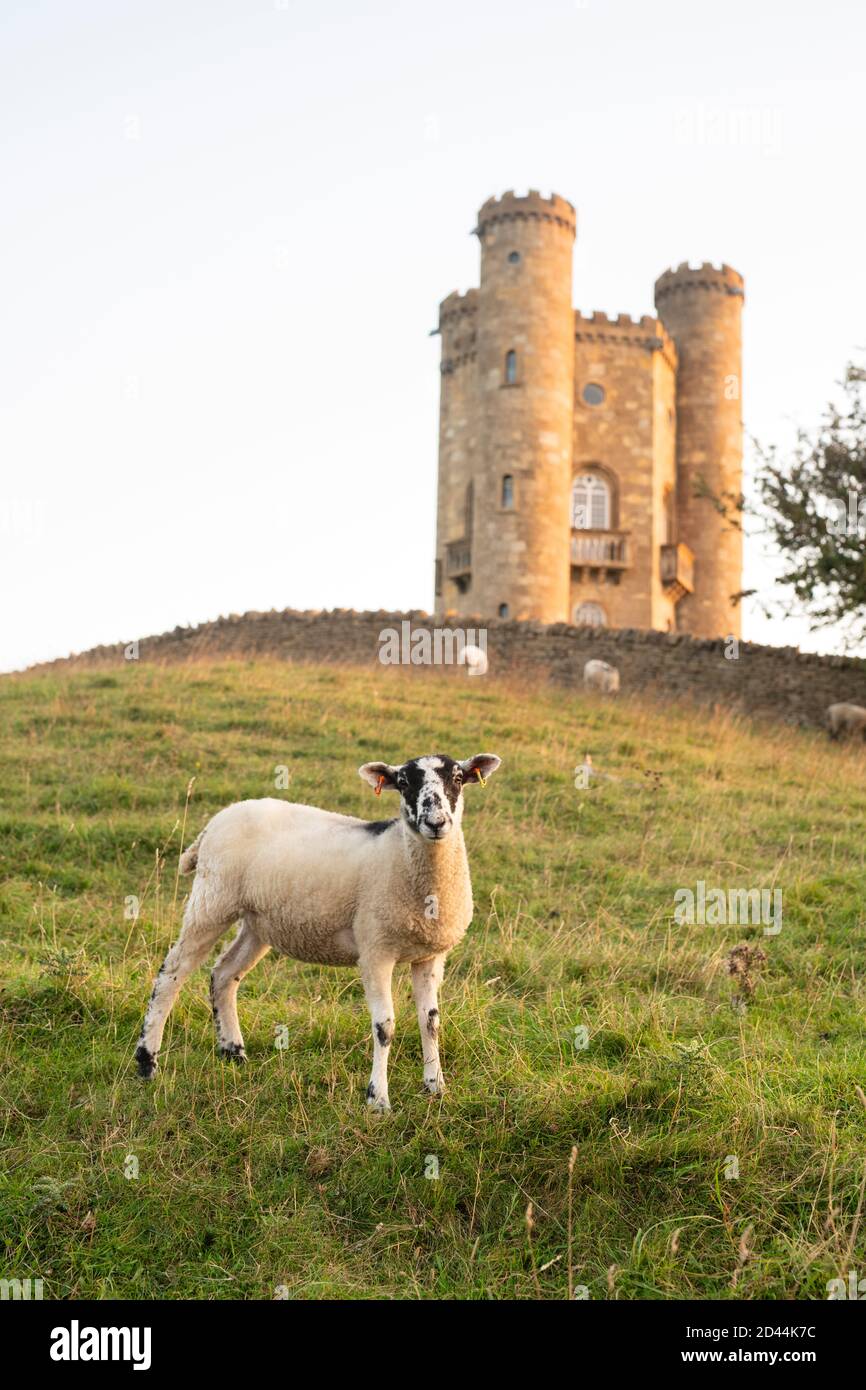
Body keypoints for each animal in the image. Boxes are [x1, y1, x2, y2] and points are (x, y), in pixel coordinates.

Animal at [134, 752, 501, 1111]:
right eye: (404, 782)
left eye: (458, 779)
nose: (436, 823)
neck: (401, 856)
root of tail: (216, 821)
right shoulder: (375, 950)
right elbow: (385, 1026)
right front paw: (378, 1099)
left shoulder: (430, 955)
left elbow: (431, 1022)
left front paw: (435, 1087)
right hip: (213, 899)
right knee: (172, 973)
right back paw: (146, 1062)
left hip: (257, 921)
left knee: (224, 974)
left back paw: (233, 1051)